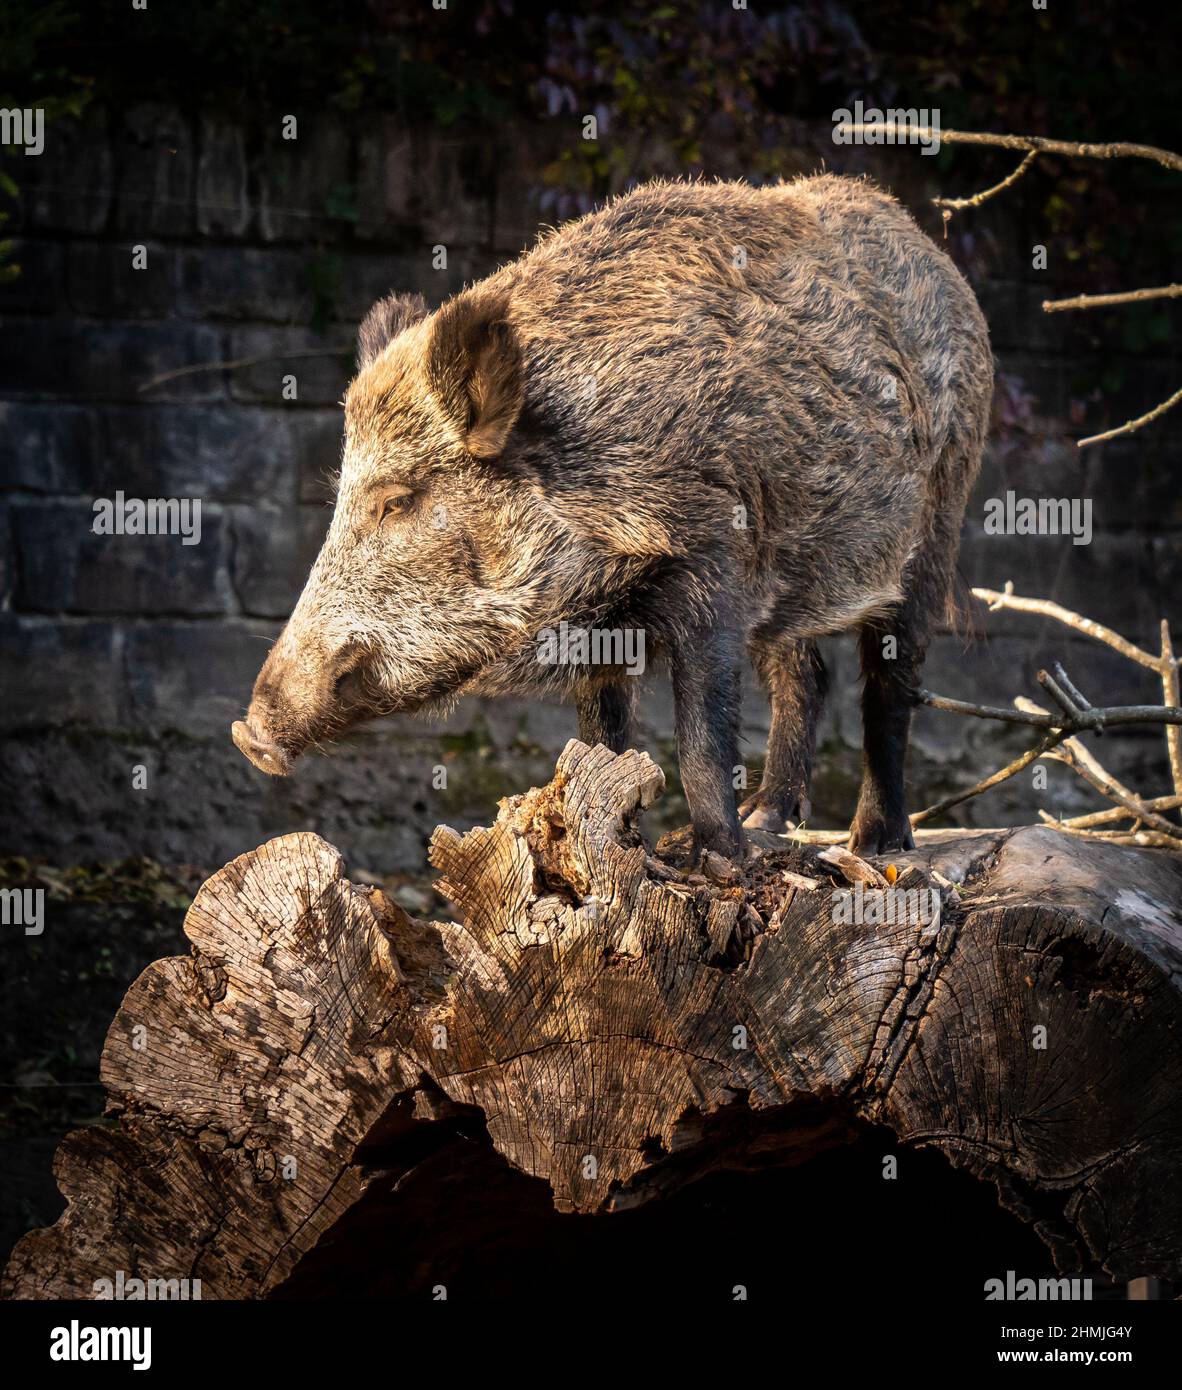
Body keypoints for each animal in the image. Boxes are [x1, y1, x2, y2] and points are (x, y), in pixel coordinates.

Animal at [232, 174, 992, 860]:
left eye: (397, 500)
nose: (251, 736)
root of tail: (936, 256)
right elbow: (601, 737)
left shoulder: (711, 562)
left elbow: (701, 738)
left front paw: (716, 859)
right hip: (793, 576)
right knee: (804, 677)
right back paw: (769, 823)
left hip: (940, 519)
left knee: (890, 685)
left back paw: (874, 845)